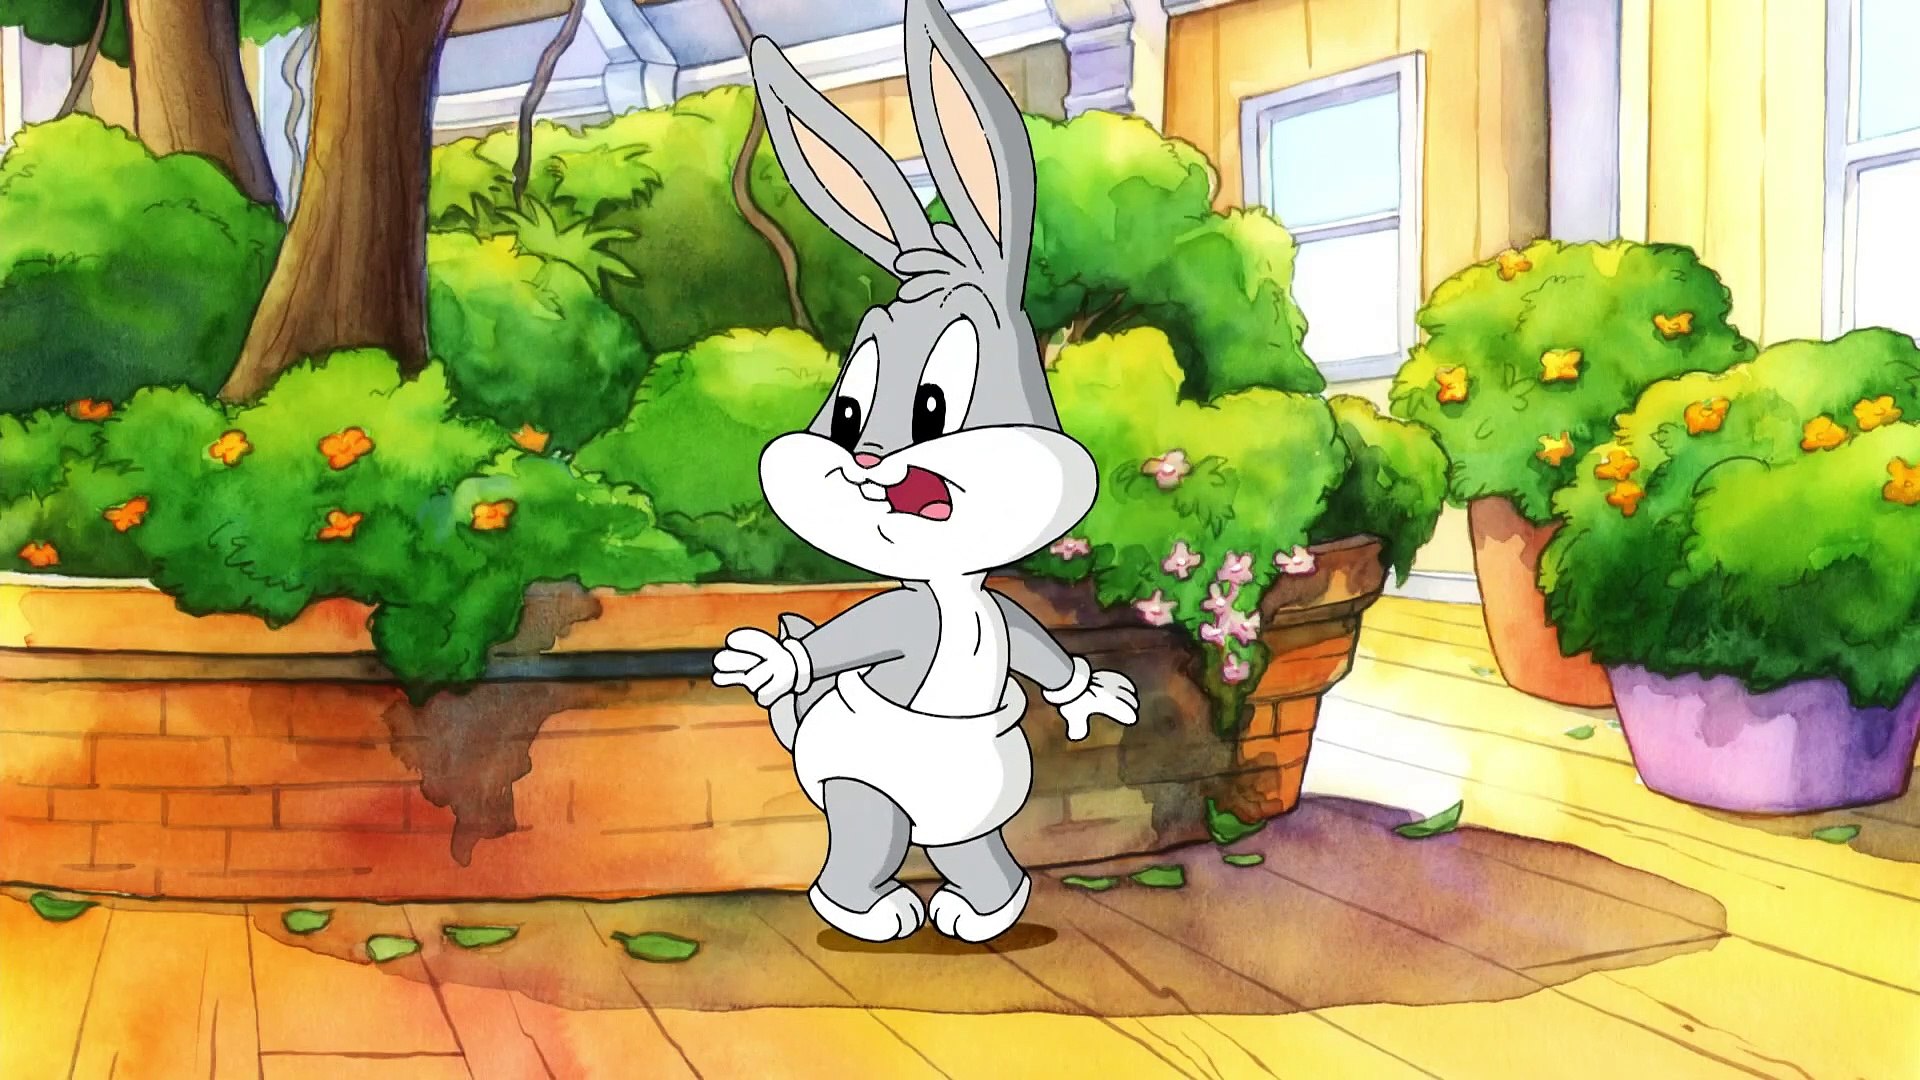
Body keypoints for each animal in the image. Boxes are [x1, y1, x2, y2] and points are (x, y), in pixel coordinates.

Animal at [709, 0, 1139, 945]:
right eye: (846, 412)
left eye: (935, 406)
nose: (868, 464)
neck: (951, 588)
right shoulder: (907, 620)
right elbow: (855, 634)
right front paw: (775, 663)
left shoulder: (1001, 611)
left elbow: (1040, 647)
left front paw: (1094, 696)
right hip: (864, 793)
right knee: (863, 842)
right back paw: (874, 914)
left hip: (968, 825)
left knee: (976, 857)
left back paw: (981, 913)